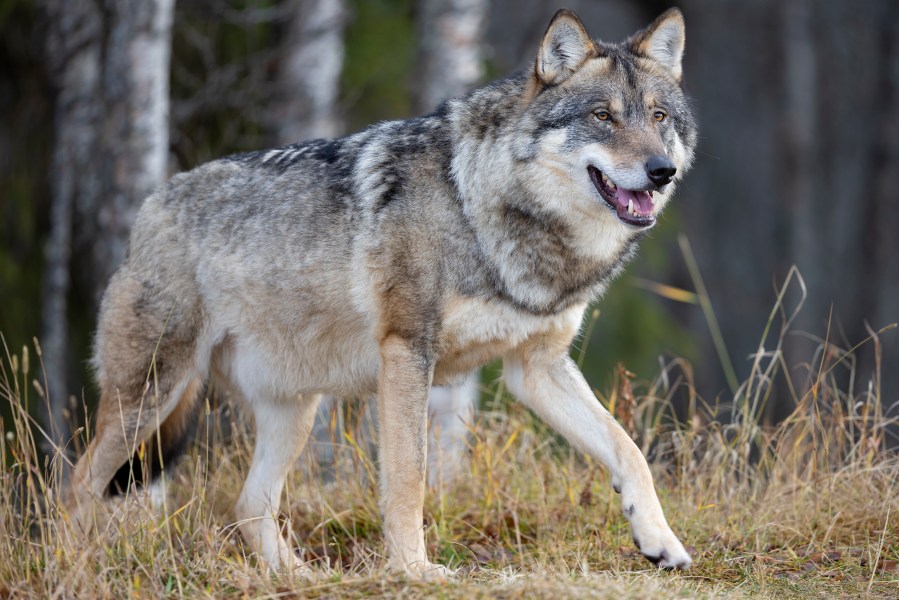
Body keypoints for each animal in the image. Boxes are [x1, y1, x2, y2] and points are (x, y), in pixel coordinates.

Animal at [65, 8, 697, 575]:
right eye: (603, 116)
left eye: (659, 117)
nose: (661, 170)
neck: (483, 205)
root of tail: (152, 202)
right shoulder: (407, 350)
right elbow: (410, 477)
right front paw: (415, 571)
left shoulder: (536, 367)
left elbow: (629, 450)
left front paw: (660, 542)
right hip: (151, 395)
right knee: (76, 484)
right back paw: (74, 565)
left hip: (293, 409)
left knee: (249, 504)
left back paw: (301, 578)